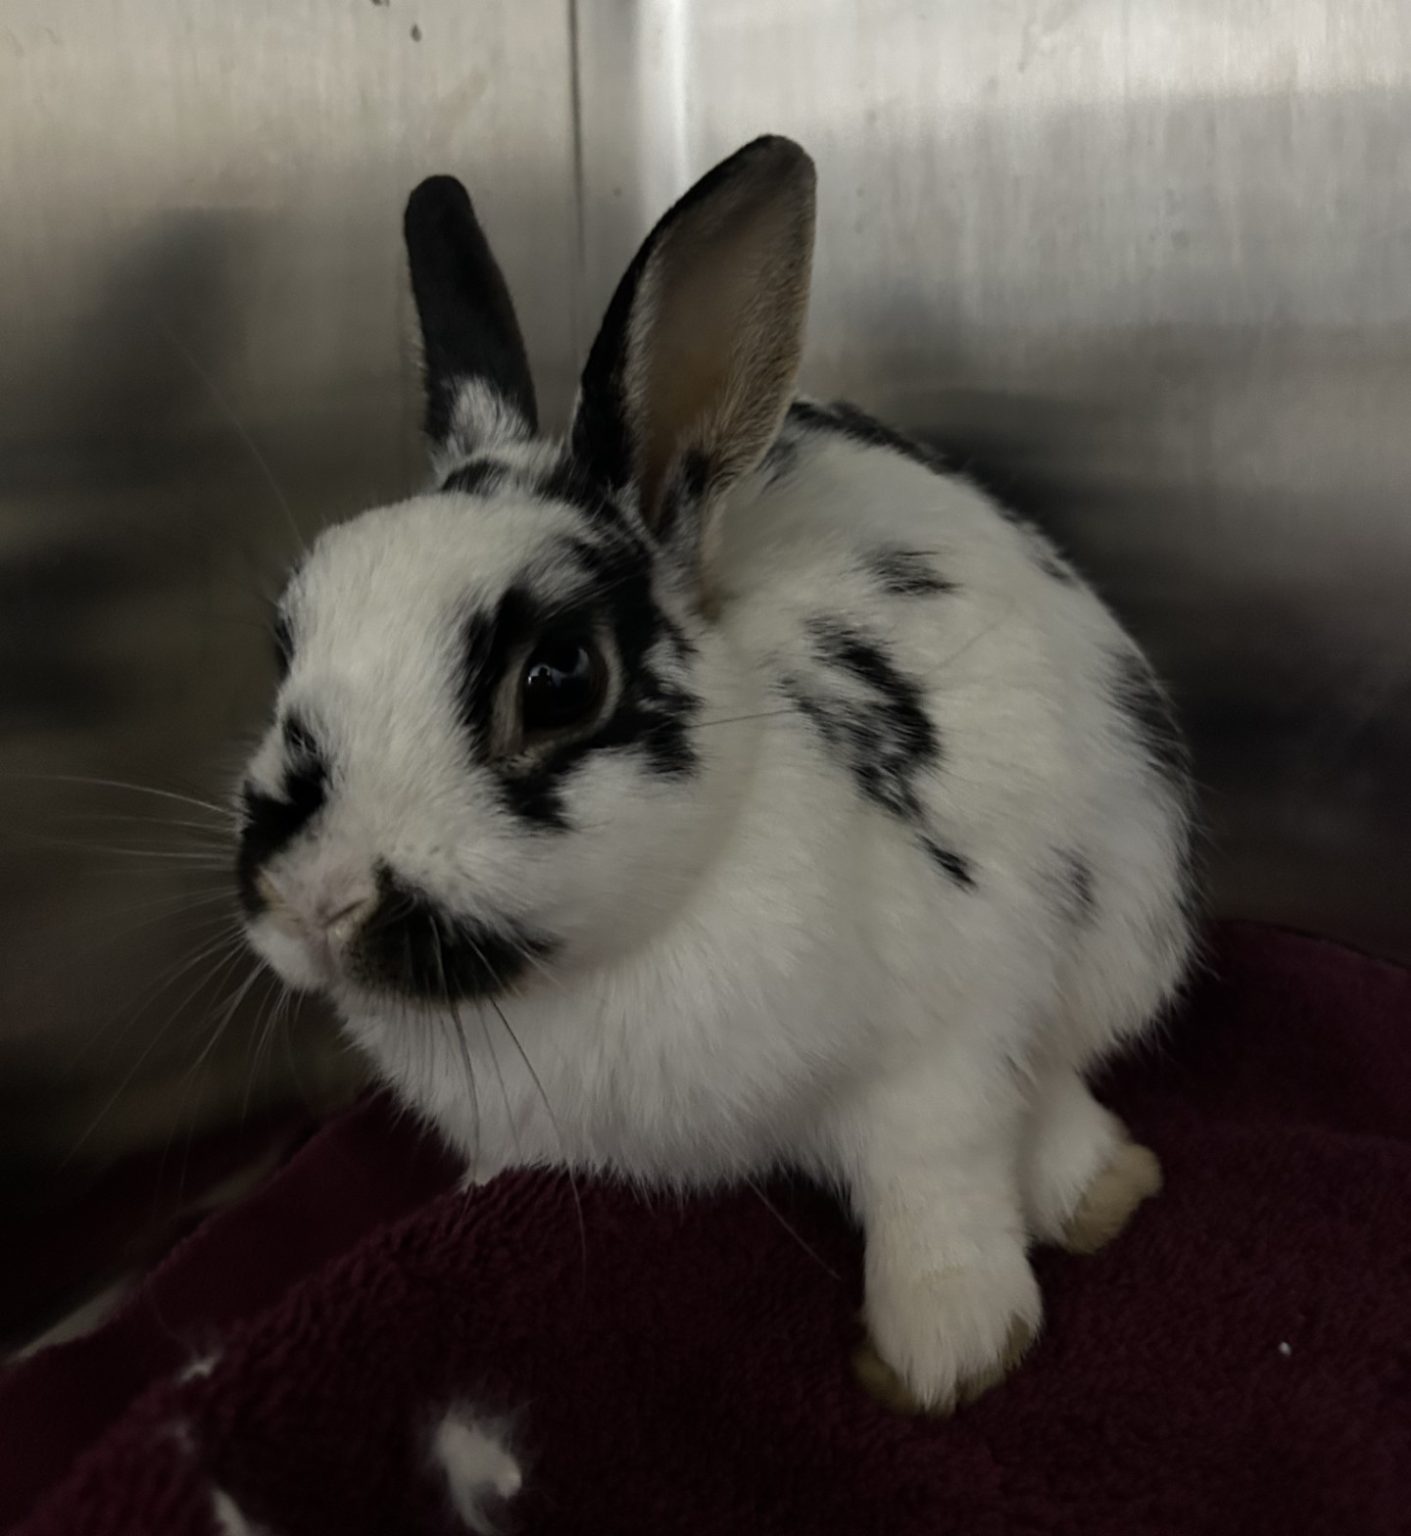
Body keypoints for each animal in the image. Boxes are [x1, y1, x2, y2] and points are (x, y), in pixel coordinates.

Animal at [235, 135, 1198, 1415]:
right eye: (285, 642)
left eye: (558, 681)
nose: (316, 903)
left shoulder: (942, 1054)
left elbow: (936, 1190)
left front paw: (944, 1353)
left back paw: (1095, 1190)